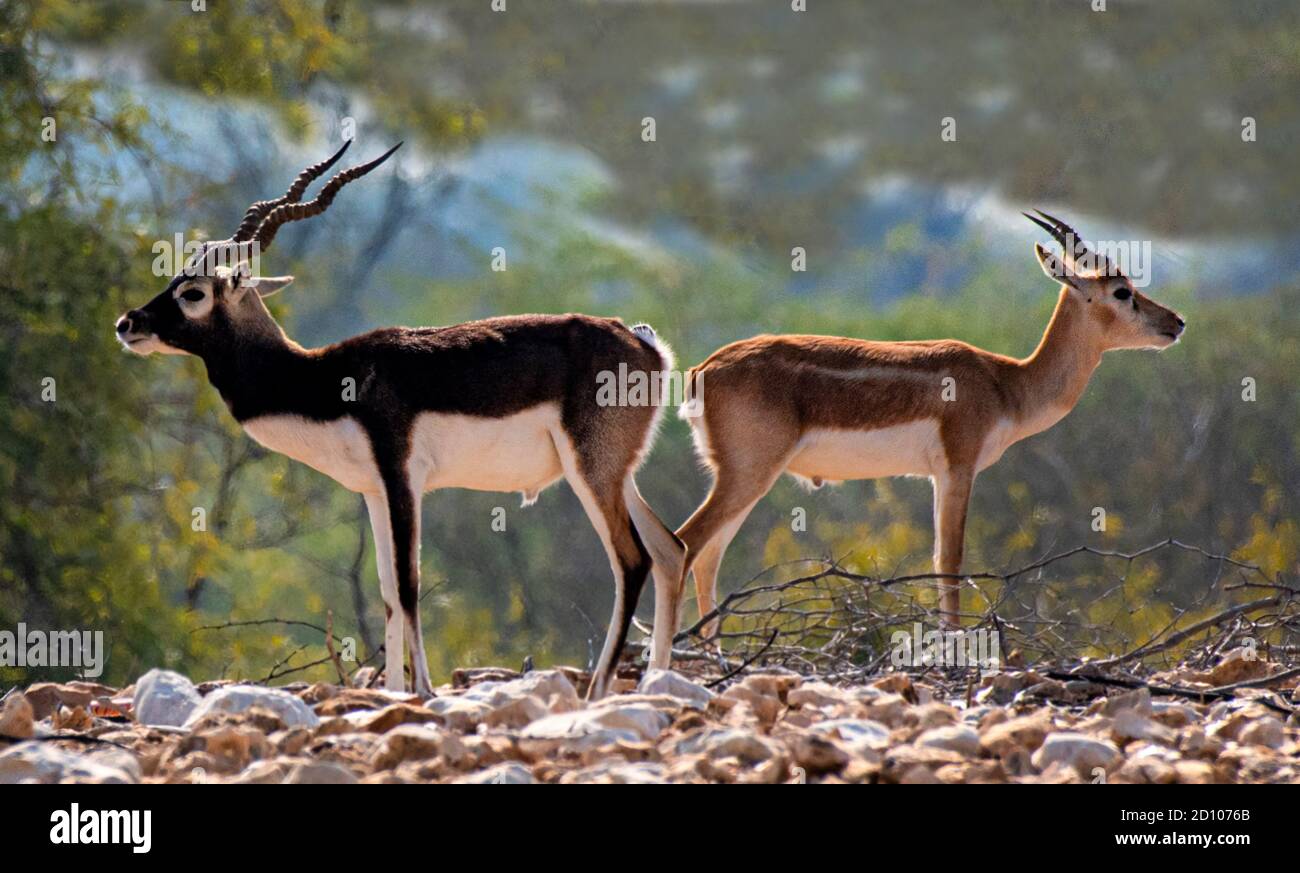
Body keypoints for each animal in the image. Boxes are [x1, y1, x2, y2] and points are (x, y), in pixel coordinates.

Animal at [115, 141, 685, 699]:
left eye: (193, 293)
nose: (127, 323)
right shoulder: (372, 491)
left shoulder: (402, 479)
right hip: (617, 475)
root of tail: (644, 345)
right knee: (670, 550)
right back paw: (656, 682)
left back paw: (600, 690)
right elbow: (388, 592)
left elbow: (409, 587)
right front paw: (392, 691)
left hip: (590, 472)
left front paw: (425, 690)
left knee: (632, 561)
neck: (325, 377)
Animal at [672, 211, 1185, 639]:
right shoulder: (959, 467)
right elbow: (949, 558)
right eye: (1122, 291)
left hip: (740, 480)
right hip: (749, 475)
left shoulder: (938, 475)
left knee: (708, 556)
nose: (1177, 322)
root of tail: (702, 371)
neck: (1006, 383)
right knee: (686, 543)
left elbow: (940, 557)